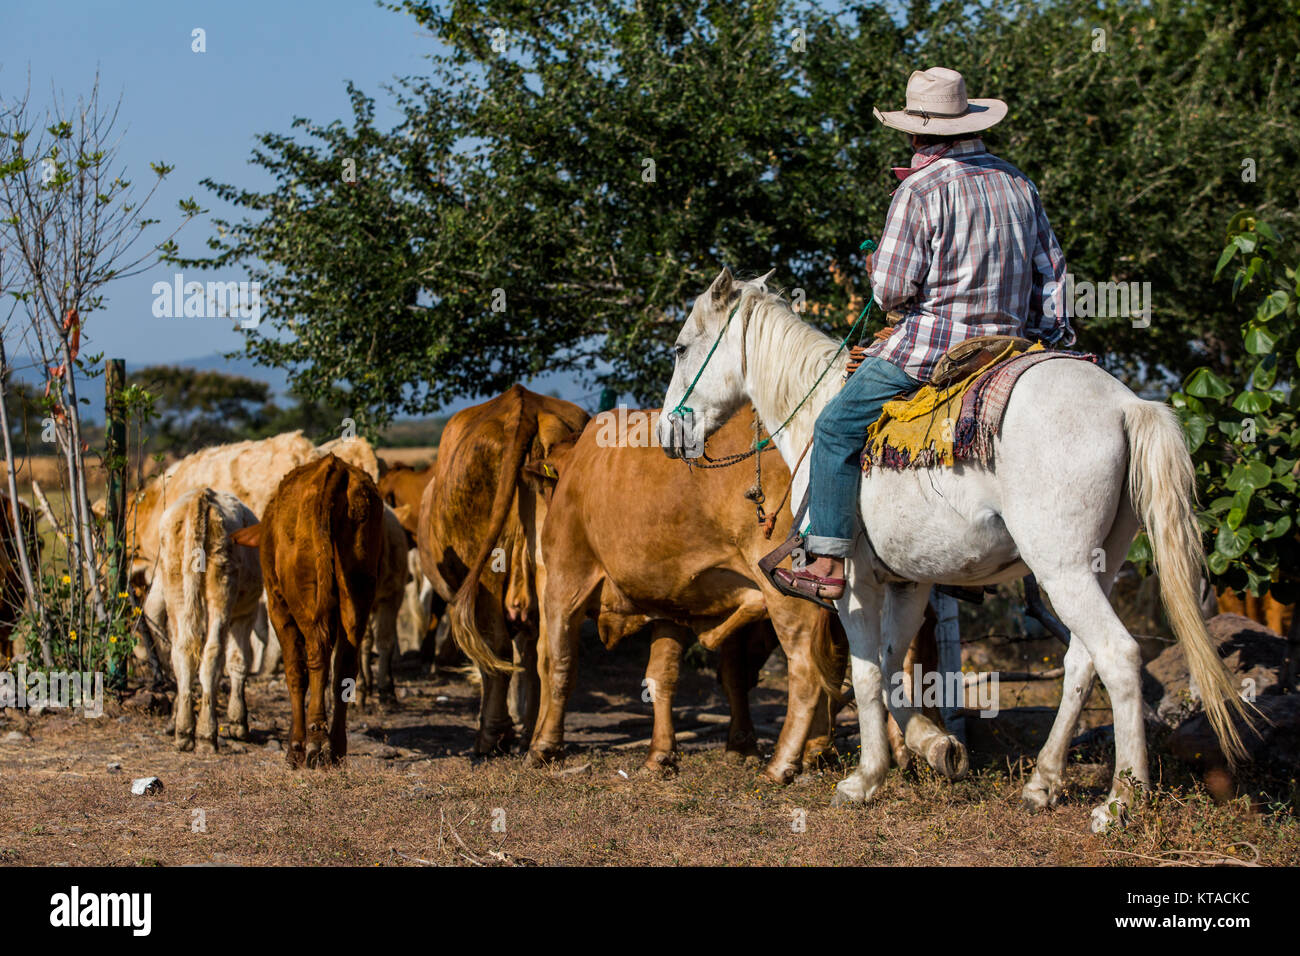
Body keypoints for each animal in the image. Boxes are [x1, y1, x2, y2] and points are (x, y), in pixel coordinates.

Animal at [144, 488, 261, 753]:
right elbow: (239, 660)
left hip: (176, 583)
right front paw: (238, 722)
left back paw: (183, 730)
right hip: (222, 588)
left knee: (181, 653)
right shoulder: (246, 613)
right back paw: (207, 733)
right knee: (213, 654)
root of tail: (202, 496)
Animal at [234, 455, 383, 767]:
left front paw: (296, 745)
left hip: (303, 597)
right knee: (345, 664)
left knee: (316, 653)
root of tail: (333, 469)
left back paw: (315, 740)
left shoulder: (278, 607)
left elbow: (295, 672)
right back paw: (337, 746)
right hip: (359, 589)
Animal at [416, 385, 589, 754]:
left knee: (494, 648)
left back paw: (492, 735)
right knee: (549, 650)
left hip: (484, 571)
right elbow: (528, 659)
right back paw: (538, 739)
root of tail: (522, 403)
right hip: (556, 566)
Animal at [657, 267, 1250, 832]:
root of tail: (1127, 406)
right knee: (1081, 661)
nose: (667, 434)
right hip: (1099, 565)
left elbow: (866, 673)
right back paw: (1044, 782)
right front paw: (935, 746)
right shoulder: (910, 580)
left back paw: (1122, 800)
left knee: (1119, 656)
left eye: (682, 348)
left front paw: (865, 779)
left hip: (1061, 569)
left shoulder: (853, 583)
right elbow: (893, 667)